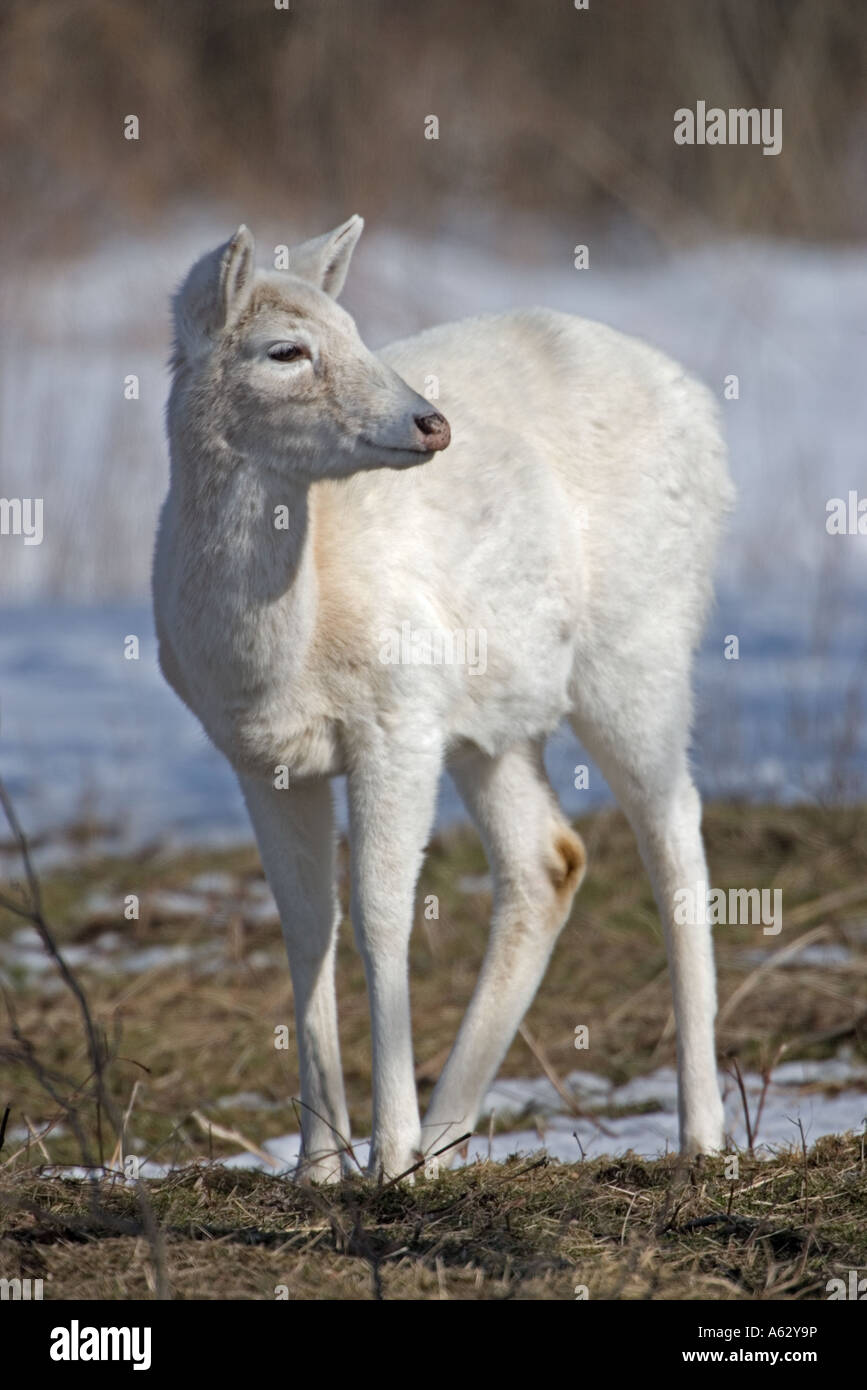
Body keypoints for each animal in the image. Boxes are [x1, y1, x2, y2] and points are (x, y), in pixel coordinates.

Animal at [153, 215, 734, 1182]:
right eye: (286, 349)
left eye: (356, 330)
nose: (430, 422)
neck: (276, 655)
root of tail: (704, 410)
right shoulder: (257, 756)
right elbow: (306, 925)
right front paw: (316, 1166)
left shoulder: (399, 720)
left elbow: (380, 915)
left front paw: (384, 1155)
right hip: (492, 726)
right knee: (549, 858)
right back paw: (446, 1137)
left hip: (637, 652)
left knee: (675, 836)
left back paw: (700, 1135)